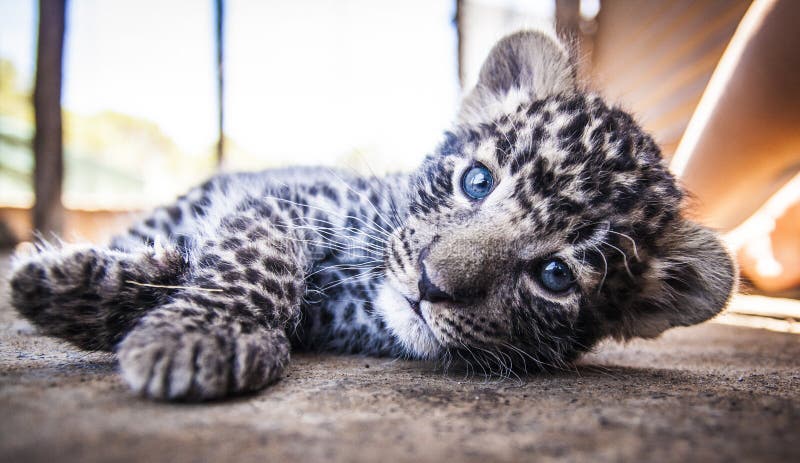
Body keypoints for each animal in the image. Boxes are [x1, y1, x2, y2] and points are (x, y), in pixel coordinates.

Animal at [8, 30, 736, 401]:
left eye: (555, 275)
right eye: (476, 181)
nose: (429, 285)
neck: (361, 303)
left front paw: (82, 289)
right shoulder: (288, 200)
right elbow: (255, 259)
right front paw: (201, 335)